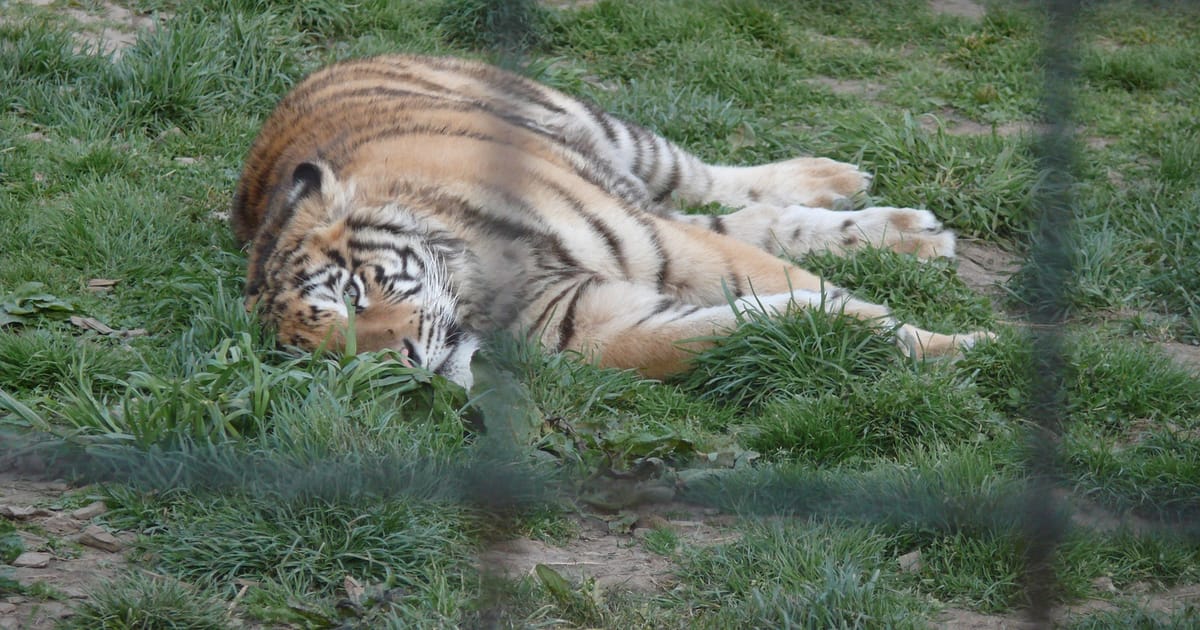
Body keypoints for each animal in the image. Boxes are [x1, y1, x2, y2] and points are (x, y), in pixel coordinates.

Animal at [231, 54, 992, 390]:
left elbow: (804, 287)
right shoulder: (591, 326)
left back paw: (851, 186)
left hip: (616, 139)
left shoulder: (667, 249)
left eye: (355, 295)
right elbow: (699, 335)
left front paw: (960, 346)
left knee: (716, 183)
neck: (479, 290)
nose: (409, 361)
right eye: (331, 357)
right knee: (749, 219)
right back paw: (909, 232)